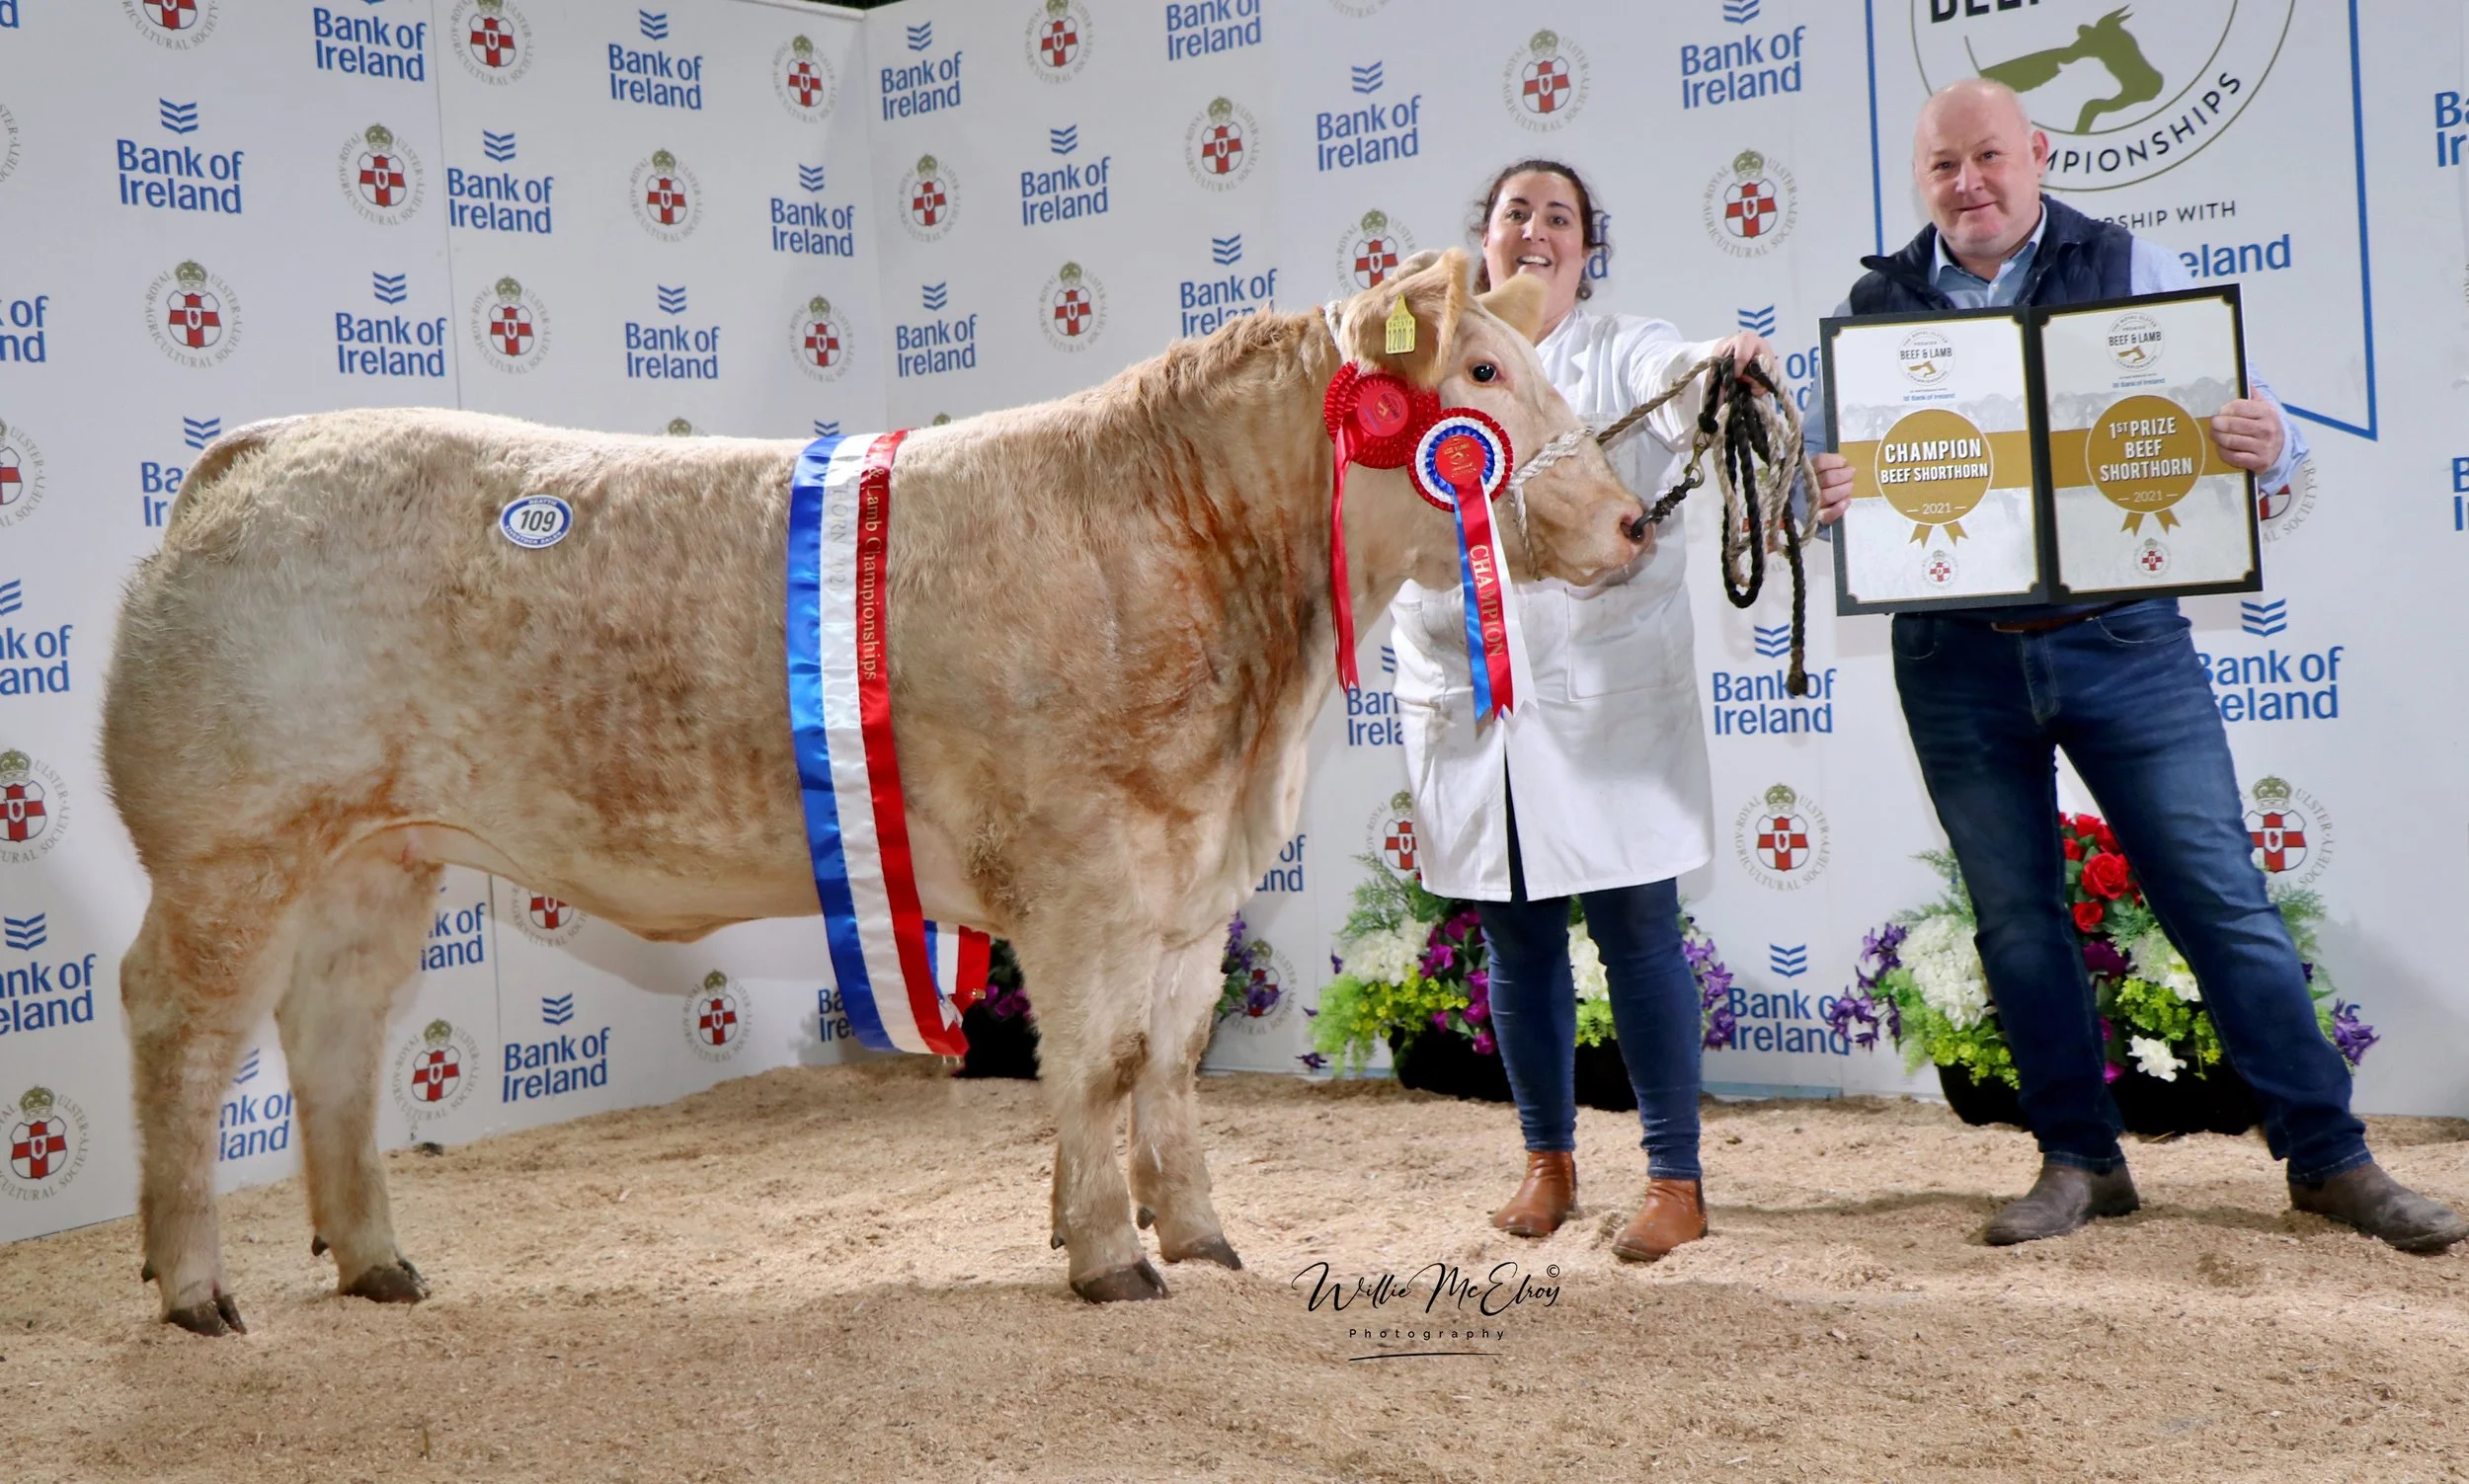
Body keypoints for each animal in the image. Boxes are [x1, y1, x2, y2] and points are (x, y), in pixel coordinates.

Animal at [101, 250, 1653, 1334]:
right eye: (1483, 375)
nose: (1637, 518)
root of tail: (252, 450)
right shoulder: (1092, 872)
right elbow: (1101, 1064)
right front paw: (1110, 1257)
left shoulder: (1190, 879)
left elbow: (1167, 1067)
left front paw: (1195, 1236)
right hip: (230, 847)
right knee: (184, 1031)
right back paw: (193, 1286)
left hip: (373, 855)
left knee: (336, 1040)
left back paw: (376, 1261)